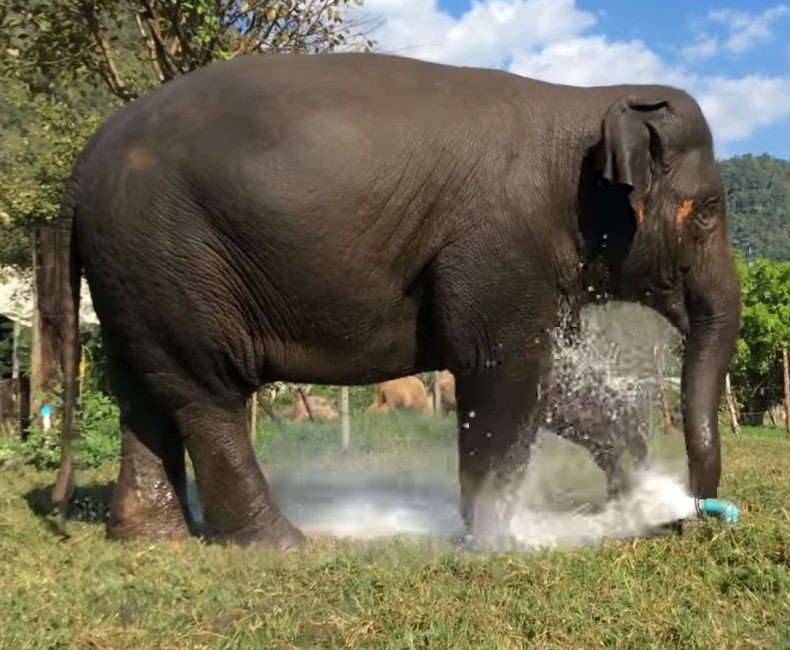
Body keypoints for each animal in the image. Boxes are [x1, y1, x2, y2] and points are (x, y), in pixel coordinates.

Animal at [50, 51, 741, 548]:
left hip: (134, 277)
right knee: (208, 395)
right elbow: (504, 372)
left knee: (145, 393)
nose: (695, 514)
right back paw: (280, 544)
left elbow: (555, 384)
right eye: (708, 210)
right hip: (174, 258)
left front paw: (638, 499)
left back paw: (152, 538)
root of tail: (82, 167)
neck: (586, 100)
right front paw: (500, 544)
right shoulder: (500, 242)